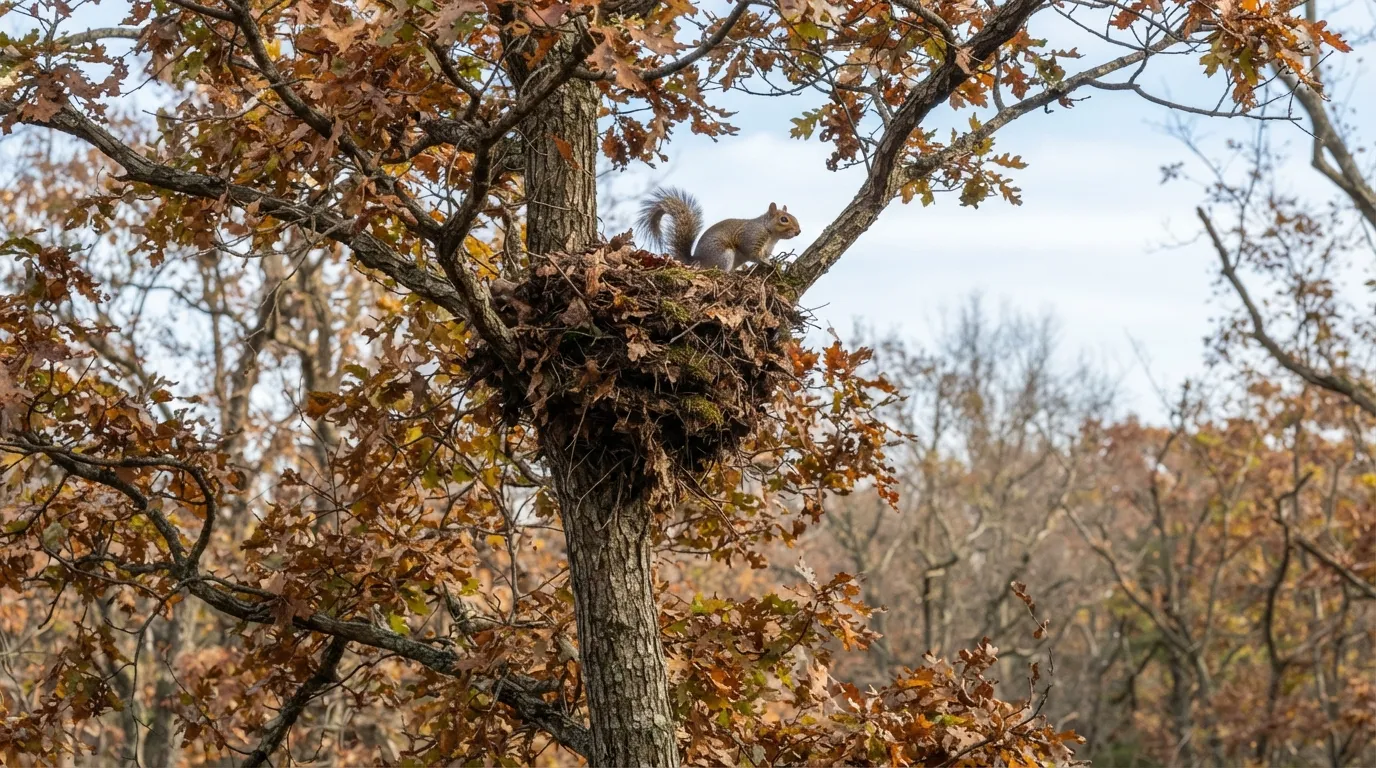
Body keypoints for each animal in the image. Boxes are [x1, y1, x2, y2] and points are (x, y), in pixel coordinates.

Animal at [637, 187, 802, 271]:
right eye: (784, 219)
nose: (798, 231)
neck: (771, 235)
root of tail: (696, 261)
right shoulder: (751, 235)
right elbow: (752, 252)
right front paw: (766, 262)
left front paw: (773, 260)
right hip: (723, 255)